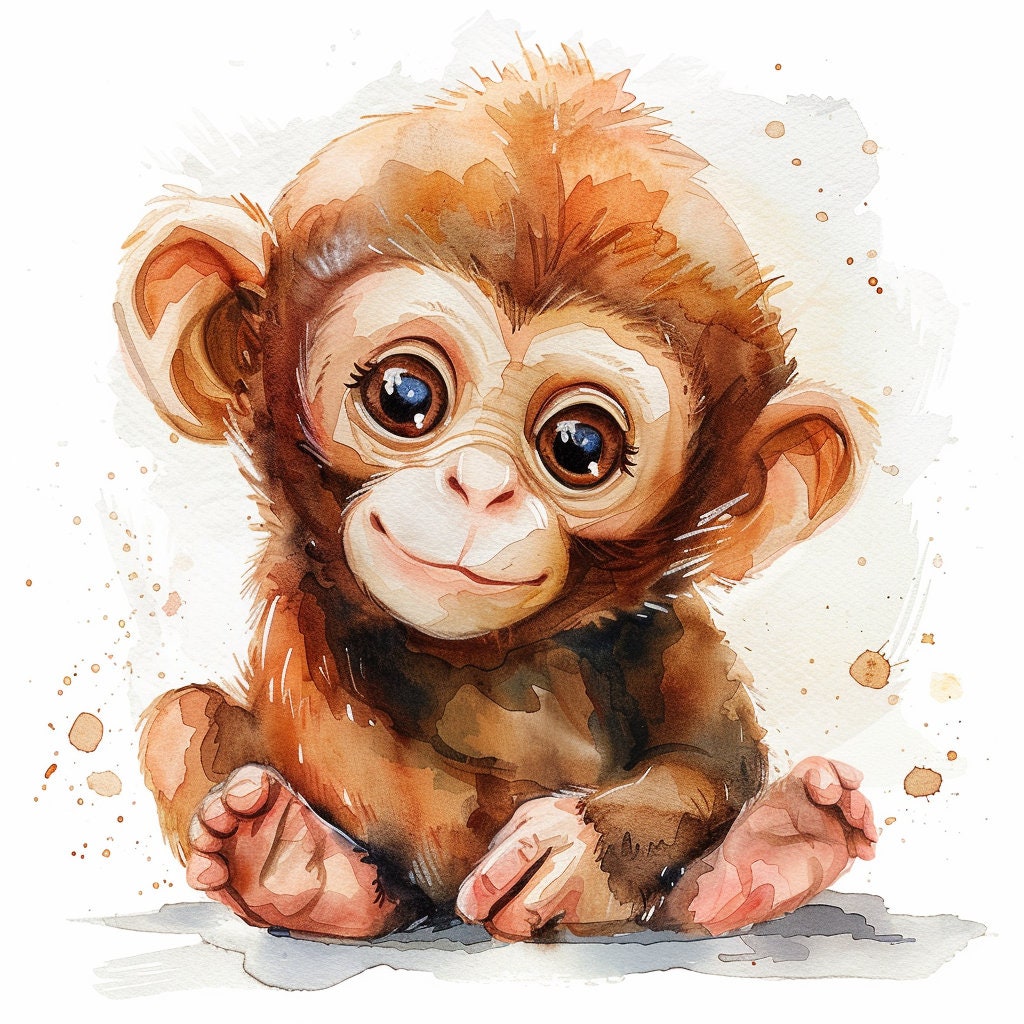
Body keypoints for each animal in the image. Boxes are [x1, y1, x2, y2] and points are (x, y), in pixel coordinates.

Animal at [114, 49, 878, 943]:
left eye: (579, 446)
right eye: (405, 395)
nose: (480, 487)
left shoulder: (670, 627)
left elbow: (714, 756)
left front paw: (575, 851)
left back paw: (776, 850)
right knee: (179, 719)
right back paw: (292, 864)